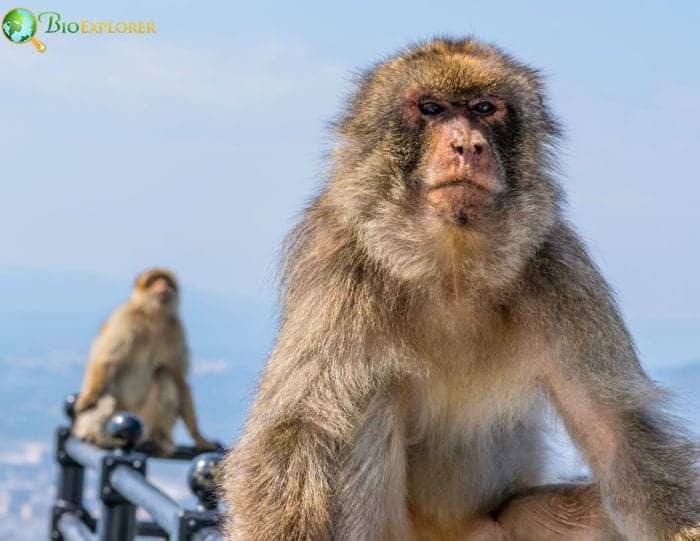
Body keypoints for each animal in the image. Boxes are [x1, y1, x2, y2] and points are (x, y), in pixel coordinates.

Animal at [72, 268, 217, 456]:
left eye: (167, 281)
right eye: (154, 280)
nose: (162, 285)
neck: (153, 317)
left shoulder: (175, 329)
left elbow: (178, 379)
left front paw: (199, 437)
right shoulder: (125, 318)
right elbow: (105, 361)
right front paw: (88, 398)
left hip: (143, 421)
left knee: (163, 376)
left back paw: (159, 440)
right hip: (121, 413)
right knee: (107, 388)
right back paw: (92, 433)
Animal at [222, 38, 700, 540]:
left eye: (484, 108)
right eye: (432, 108)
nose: (468, 145)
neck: (452, 264)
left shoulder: (562, 272)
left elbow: (619, 434)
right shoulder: (337, 263)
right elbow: (300, 428)